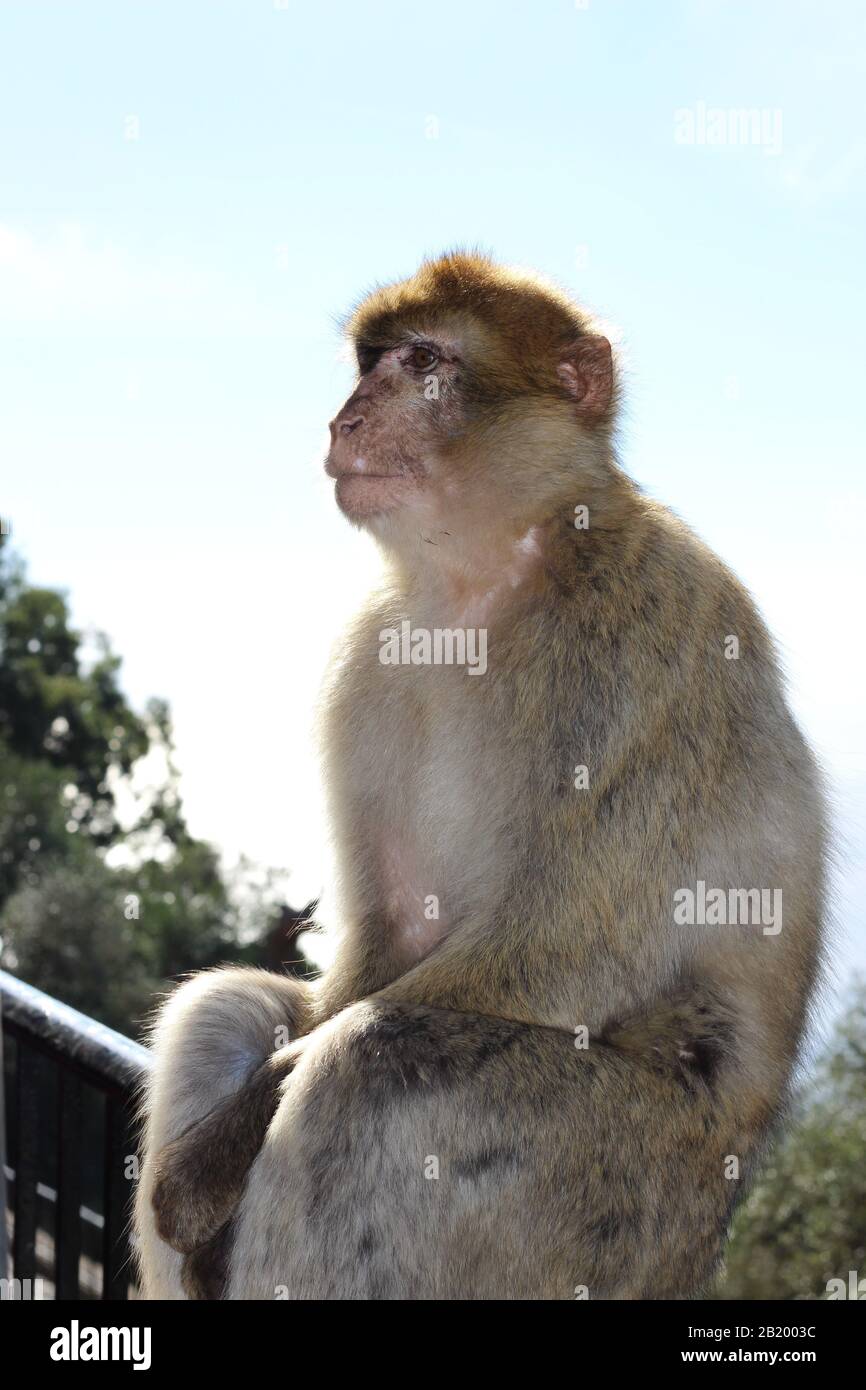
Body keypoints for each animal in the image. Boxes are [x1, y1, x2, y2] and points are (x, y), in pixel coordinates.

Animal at [134, 251, 826, 1300]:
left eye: (424, 362)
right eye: (373, 360)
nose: (345, 419)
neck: (488, 580)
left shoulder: (652, 632)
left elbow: (560, 949)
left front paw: (208, 1169)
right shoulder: (372, 653)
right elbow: (396, 933)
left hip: (618, 1198)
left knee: (375, 1070)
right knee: (230, 1010)